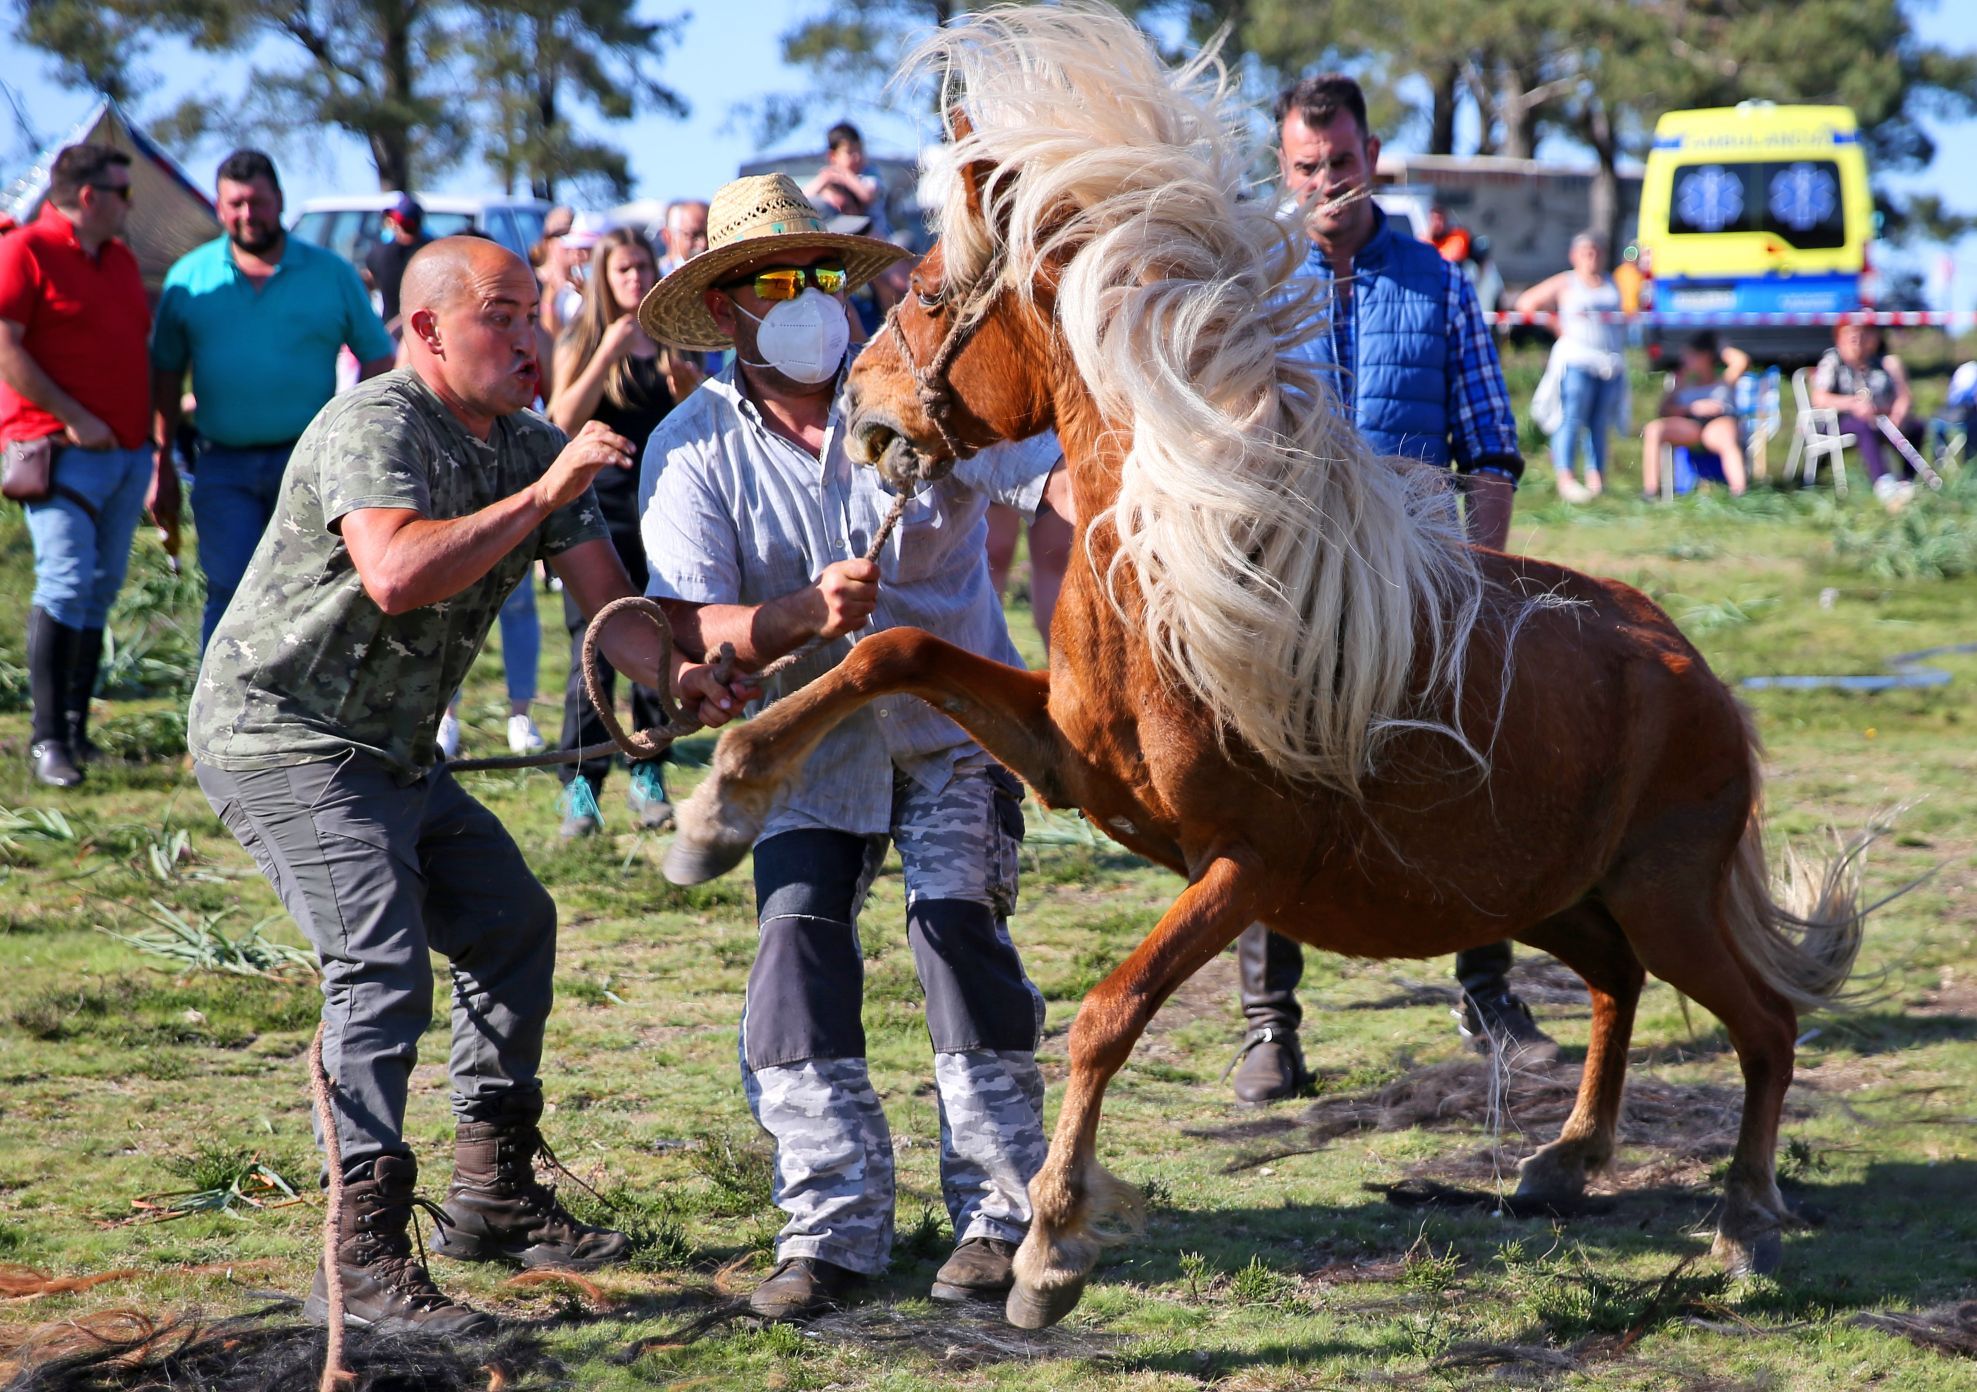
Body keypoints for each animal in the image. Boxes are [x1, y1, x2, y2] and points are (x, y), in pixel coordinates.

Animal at [664, 5, 1866, 1328]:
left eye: (926, 295)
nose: (861, 416)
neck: (1186, 569)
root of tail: (1700, 676)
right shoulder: (1073, 768)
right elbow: (894, 644)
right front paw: (718, 806)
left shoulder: (1245, 866)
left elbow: (1105, 1015)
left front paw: (1049, 1251)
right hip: (1557, 895)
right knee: (1617, 985)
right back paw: (1565, 1162)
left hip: (1662, 891)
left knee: (1762, 1024)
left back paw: (1743, 1222)